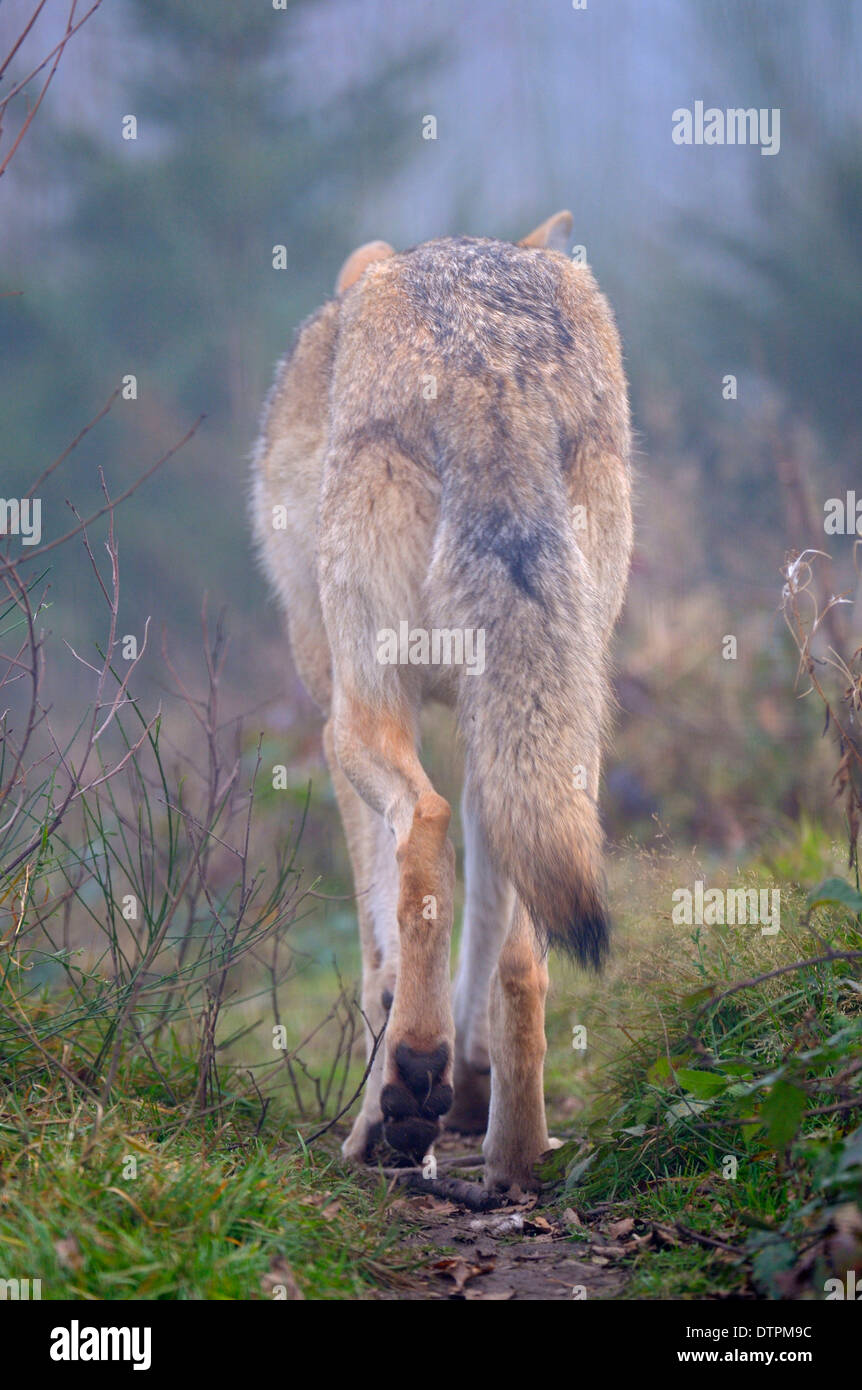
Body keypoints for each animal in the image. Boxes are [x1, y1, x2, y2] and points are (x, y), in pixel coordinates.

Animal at [252, 211, 633, 1194]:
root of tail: (491, 364)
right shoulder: (481, 737)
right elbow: (485, 942)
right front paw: (463, 1090)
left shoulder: (337, 724)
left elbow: (378, 956)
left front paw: (392, 1111)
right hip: (554, 734)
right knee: (527, 956)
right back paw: (515, 1155)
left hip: (363, 715)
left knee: (421, 832)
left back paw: (411, 1086)